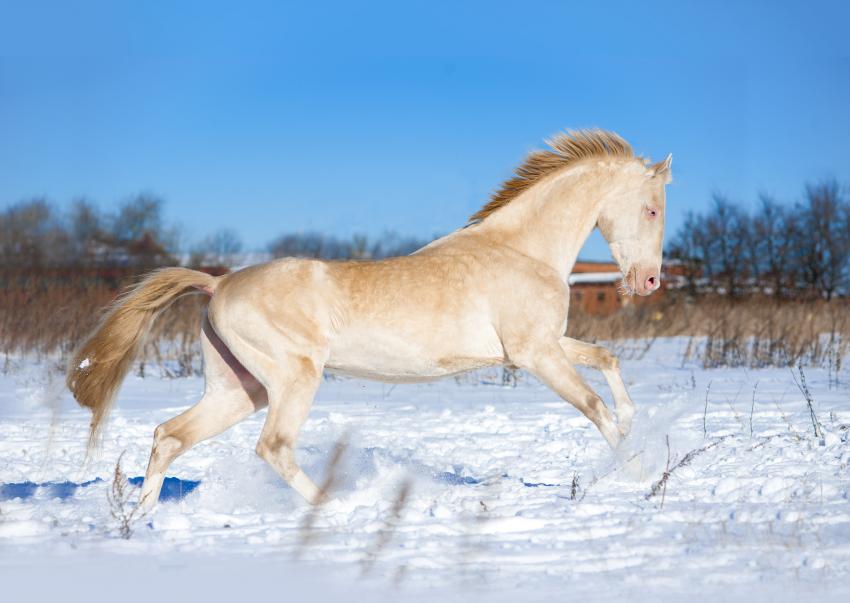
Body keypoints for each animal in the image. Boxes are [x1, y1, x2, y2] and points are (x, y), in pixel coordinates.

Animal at [66, 129, 672, 510]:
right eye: (651, 209)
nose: (647, 282)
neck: (521, 250)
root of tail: (219, 284)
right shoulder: (534, 354)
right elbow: (594, 407)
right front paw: (638, 474)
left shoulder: (544, 344)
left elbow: (607, 360)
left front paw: (634, 425)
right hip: (293, 380)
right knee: (272, 448)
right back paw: (334, 508)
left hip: (240, 389)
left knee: (170, 436)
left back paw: (141, 519)